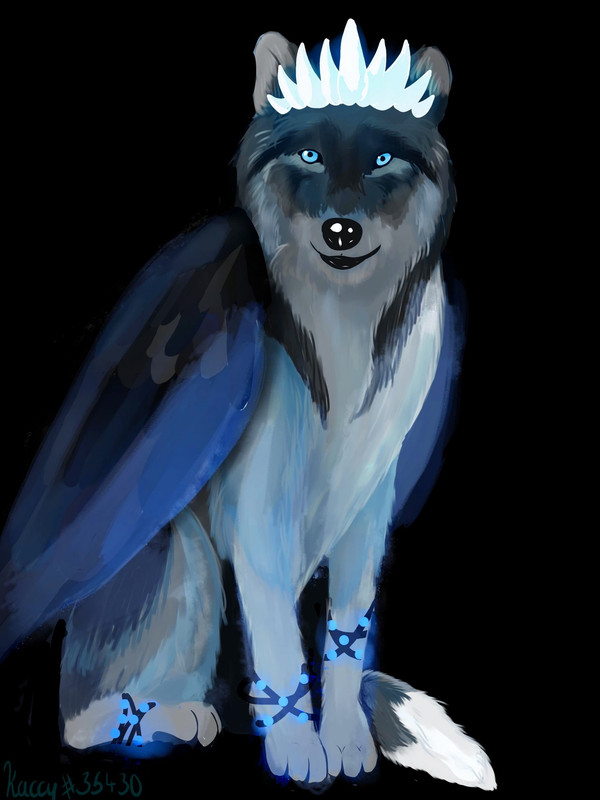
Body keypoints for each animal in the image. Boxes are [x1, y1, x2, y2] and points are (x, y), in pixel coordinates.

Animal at [0, 19, 494, 792]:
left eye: (383, 158)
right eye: (310, 154)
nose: (342, 230)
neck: (342, 326)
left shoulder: (371, 503)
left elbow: (345, 631)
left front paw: (345, 740)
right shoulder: (257, 505)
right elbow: (279, 640)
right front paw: (296, 747)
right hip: (183, 549)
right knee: (79, 722)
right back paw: (174, 720)